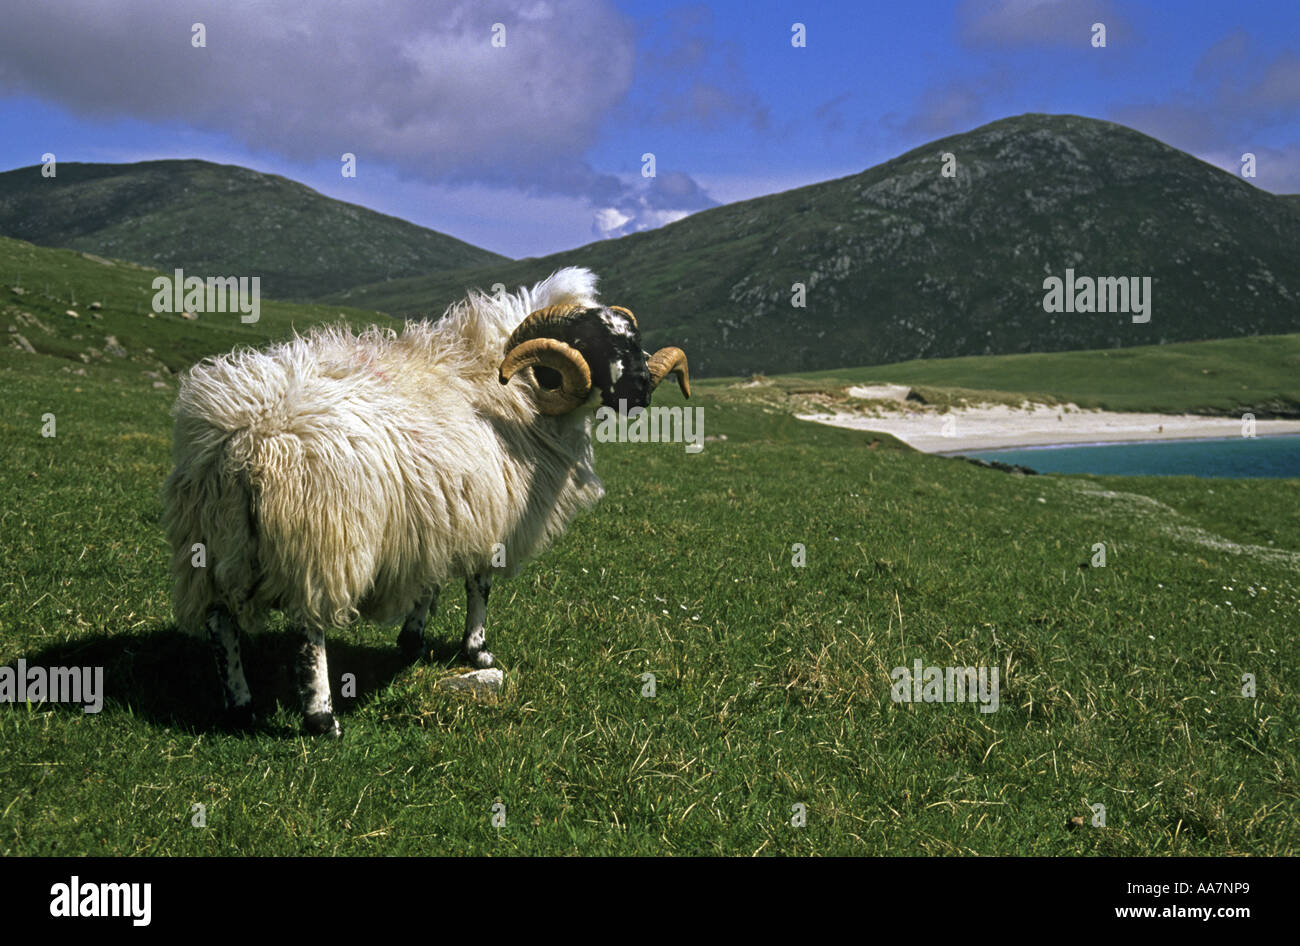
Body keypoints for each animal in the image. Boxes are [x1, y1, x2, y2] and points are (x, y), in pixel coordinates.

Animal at [161, 267, 690, 736]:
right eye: (587, 341)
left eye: (632, 338)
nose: (642, 389)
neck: (508, 385)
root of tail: (247, 438)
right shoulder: (487, 516)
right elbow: (480, 586)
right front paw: (477, 650)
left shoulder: (440, 509)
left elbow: (430, 582)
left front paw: (411, 641)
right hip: (321, 539)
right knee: (308, 628)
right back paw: (322, 718)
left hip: (209, 544)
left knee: (219, 622)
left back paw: (239, 705)